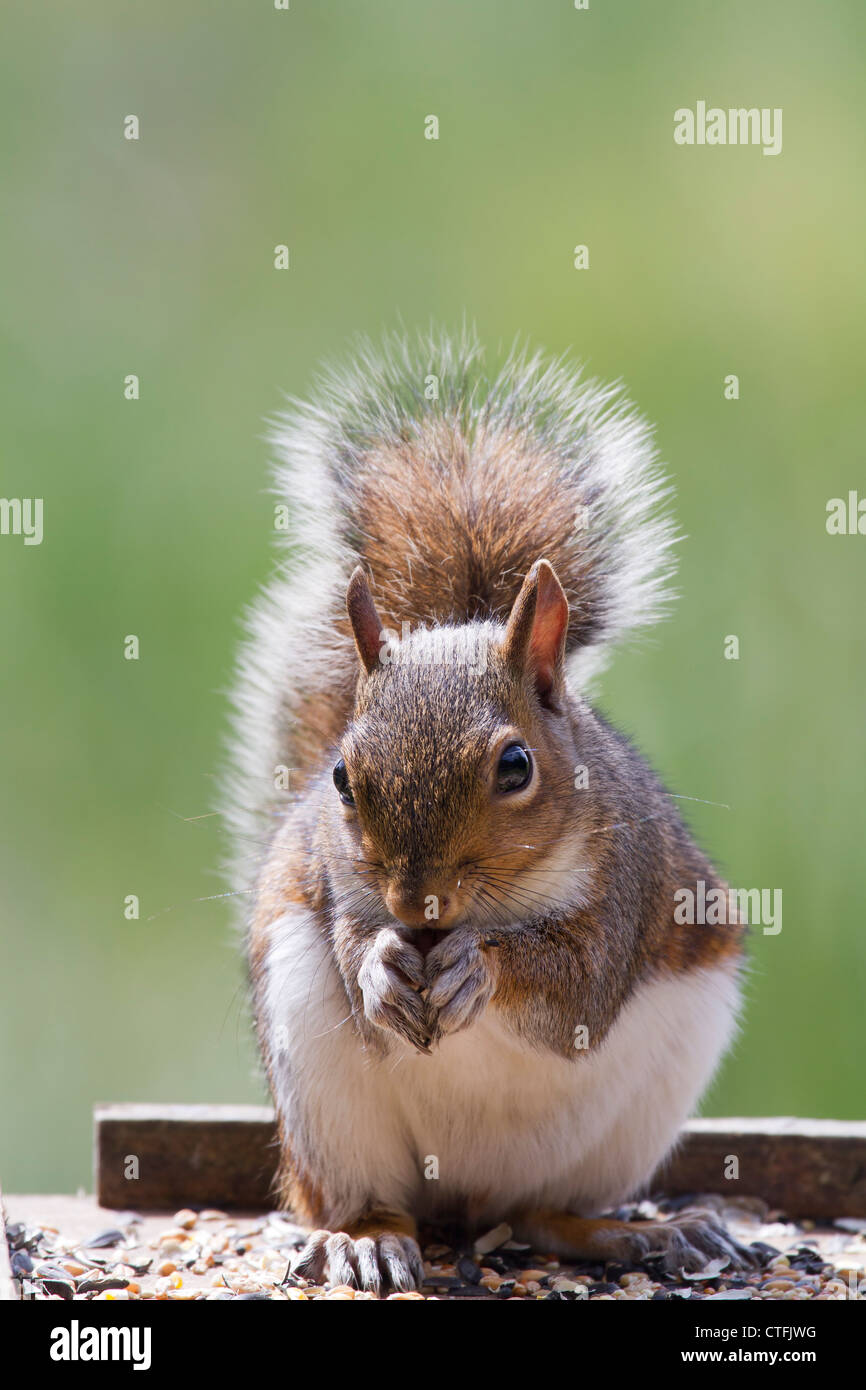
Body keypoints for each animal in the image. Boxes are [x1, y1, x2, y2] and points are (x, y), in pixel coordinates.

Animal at [228, 328, 756, 1294]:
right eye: (340, 779)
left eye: (516, 767)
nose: (415, 904)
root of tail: (462, 1201)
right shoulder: (333, 881)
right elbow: (353, 951)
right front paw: (381, 967)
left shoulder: (626, 885)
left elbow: (575, 988)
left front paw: (481, 965)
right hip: (321, 1102)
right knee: (365, 1199)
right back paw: (366, 1239)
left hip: (626, 1122)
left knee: (542, 1213)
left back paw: (634, 1233)